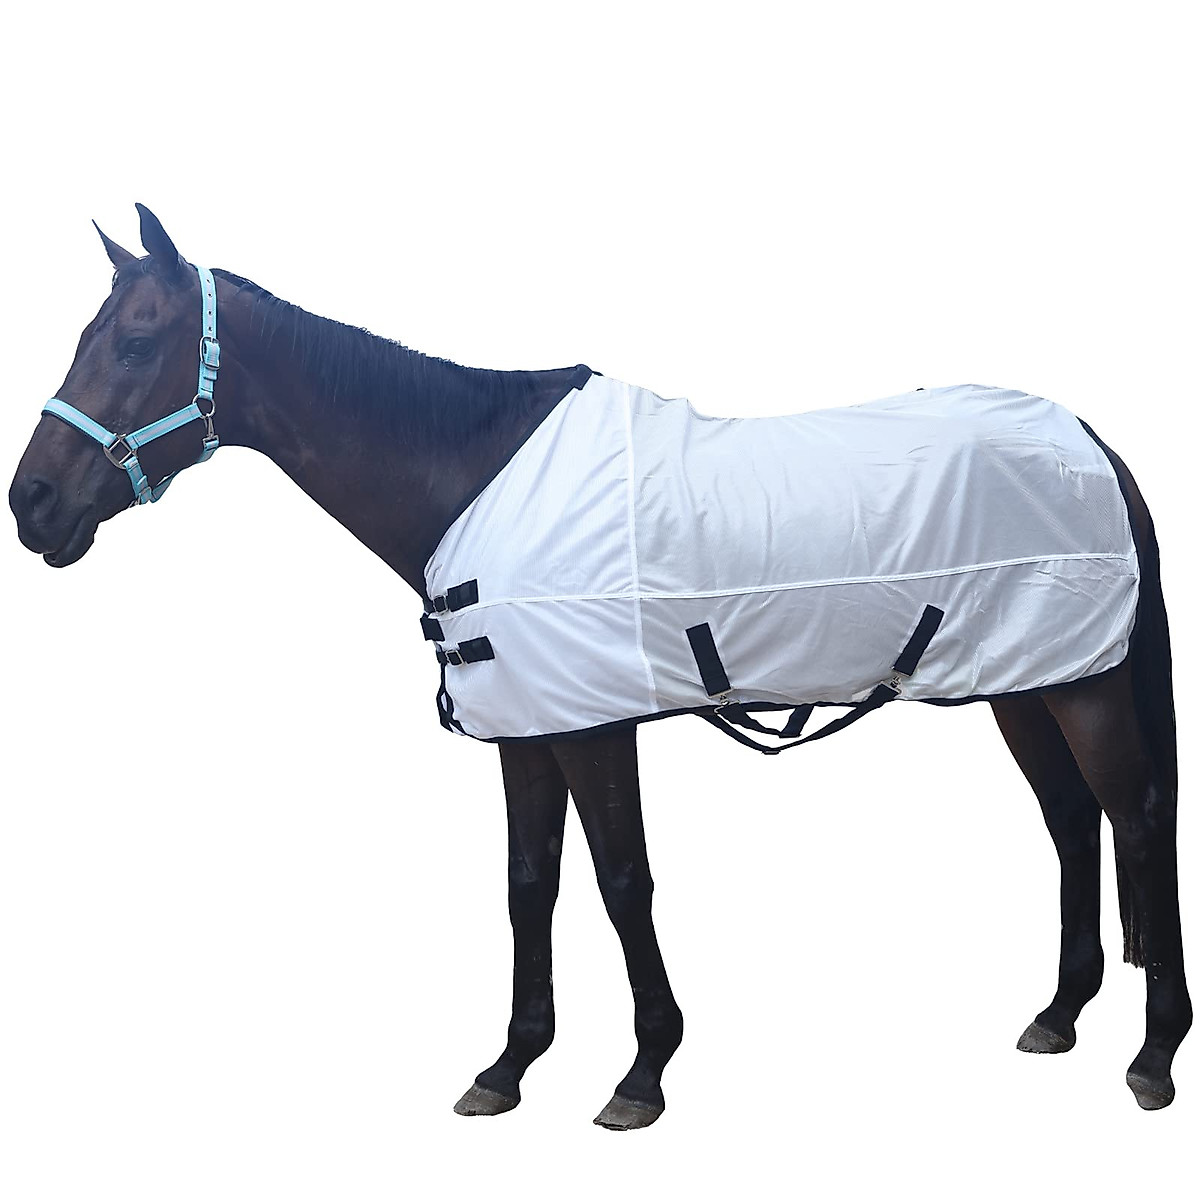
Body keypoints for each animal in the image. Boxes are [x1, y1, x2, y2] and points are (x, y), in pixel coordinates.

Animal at [9, 205, 1191, 1129]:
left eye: (136, 343)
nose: (32, 504)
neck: (468, 474)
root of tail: (1092, 441)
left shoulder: (591, 725)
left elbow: (624, 881)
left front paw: (643, 1073)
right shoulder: (527, 730)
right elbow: (529, 884)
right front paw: (508, 1064)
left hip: (1083, 690)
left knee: (1135, 822)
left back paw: (1153, 1053)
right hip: (1027, 686)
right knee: (1070, 823)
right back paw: (1059, 1015)